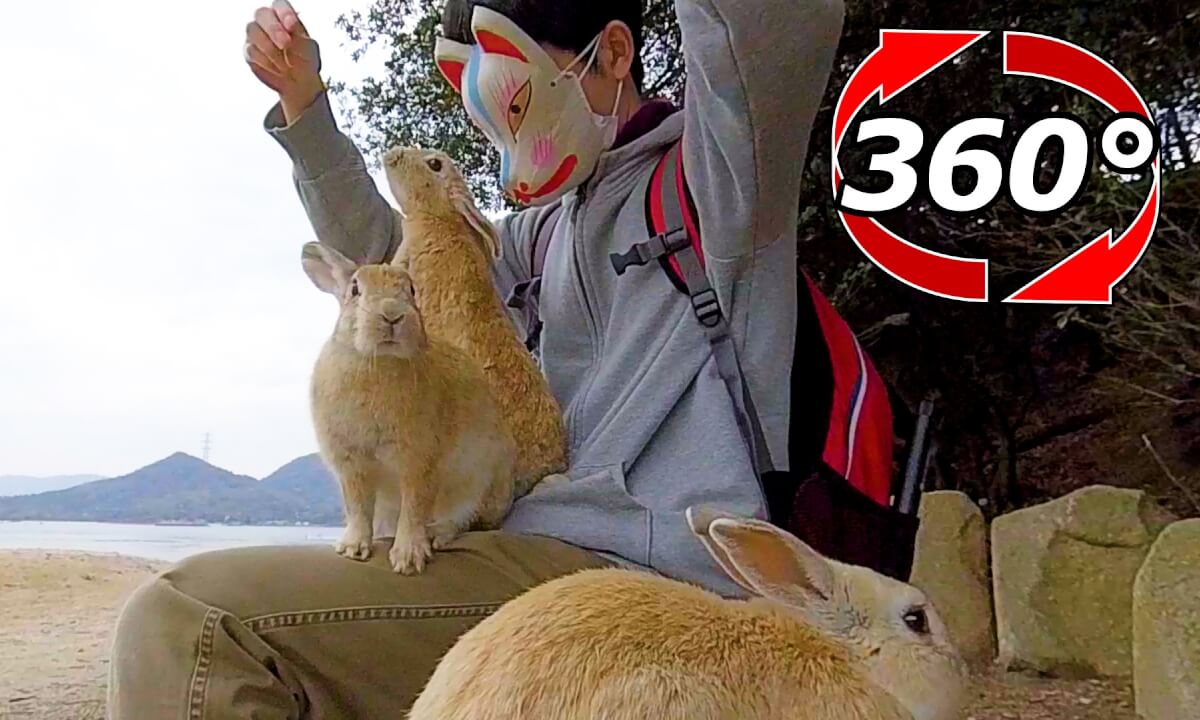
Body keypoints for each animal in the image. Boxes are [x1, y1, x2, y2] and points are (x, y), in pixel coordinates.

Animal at [303, 242, 517, 575]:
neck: (379, 361)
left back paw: (436, 535)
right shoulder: (352, 464)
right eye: (355, 289)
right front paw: (353, 548)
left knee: (462, 518)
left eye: (413, 290)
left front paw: (408, 558)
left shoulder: (420, 462)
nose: (392, 315)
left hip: (480, 482)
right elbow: (358, 507)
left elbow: (414, 508)